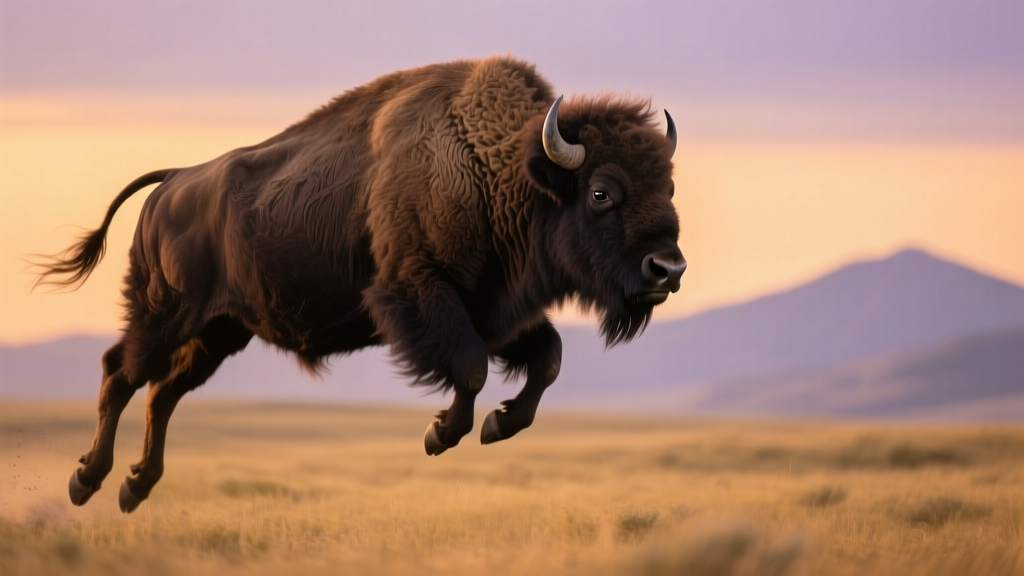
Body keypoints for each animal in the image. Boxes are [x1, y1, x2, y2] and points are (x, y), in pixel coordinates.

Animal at [38, 56, 685, 513]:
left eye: (670, 187)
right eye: (601, 192)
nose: (669, 270)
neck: (499, 169)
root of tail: (173, 183)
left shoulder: (498, 313)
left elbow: (545, 360)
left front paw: (498, 425)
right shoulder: (423, 295)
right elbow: (472, 368)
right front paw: (439, 434)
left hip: (219, 334)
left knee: (162, 393)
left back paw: (134, 488)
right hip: (166, 315)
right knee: (121, 373)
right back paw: (86, 481)